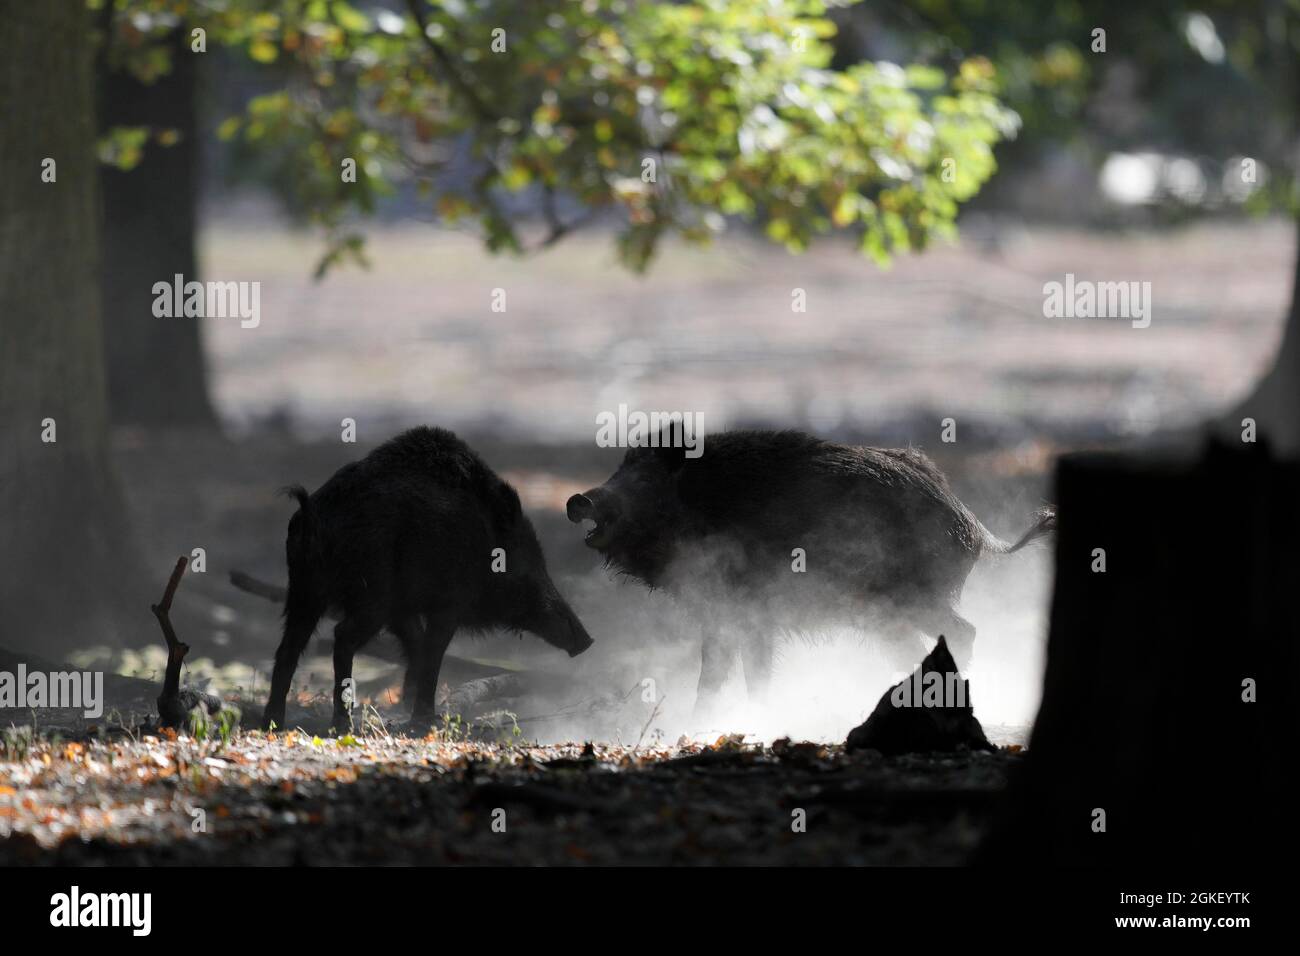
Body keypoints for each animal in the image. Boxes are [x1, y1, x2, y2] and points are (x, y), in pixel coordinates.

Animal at [262, 426, 593, 732]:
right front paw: (425, 721)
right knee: (341, 636)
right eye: (529, 566)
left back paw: (272, 723)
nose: (586, 640)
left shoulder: (403, 608)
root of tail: (312, 514)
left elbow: (417, 645)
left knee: (288, 648)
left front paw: (408, 705)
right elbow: (432, 652)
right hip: (370, 595)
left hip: (303, 590)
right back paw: (343, 725)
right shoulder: (445, 605)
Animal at [566, 428, 1053, 711]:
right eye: (618, 470)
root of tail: (972, 525)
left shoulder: (754, 609)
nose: (579, 499)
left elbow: (753, 671)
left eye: (645, 480)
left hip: (913, 596)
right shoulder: (721, 613)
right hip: (883, 617)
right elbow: (713, 675)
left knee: (965, 631)